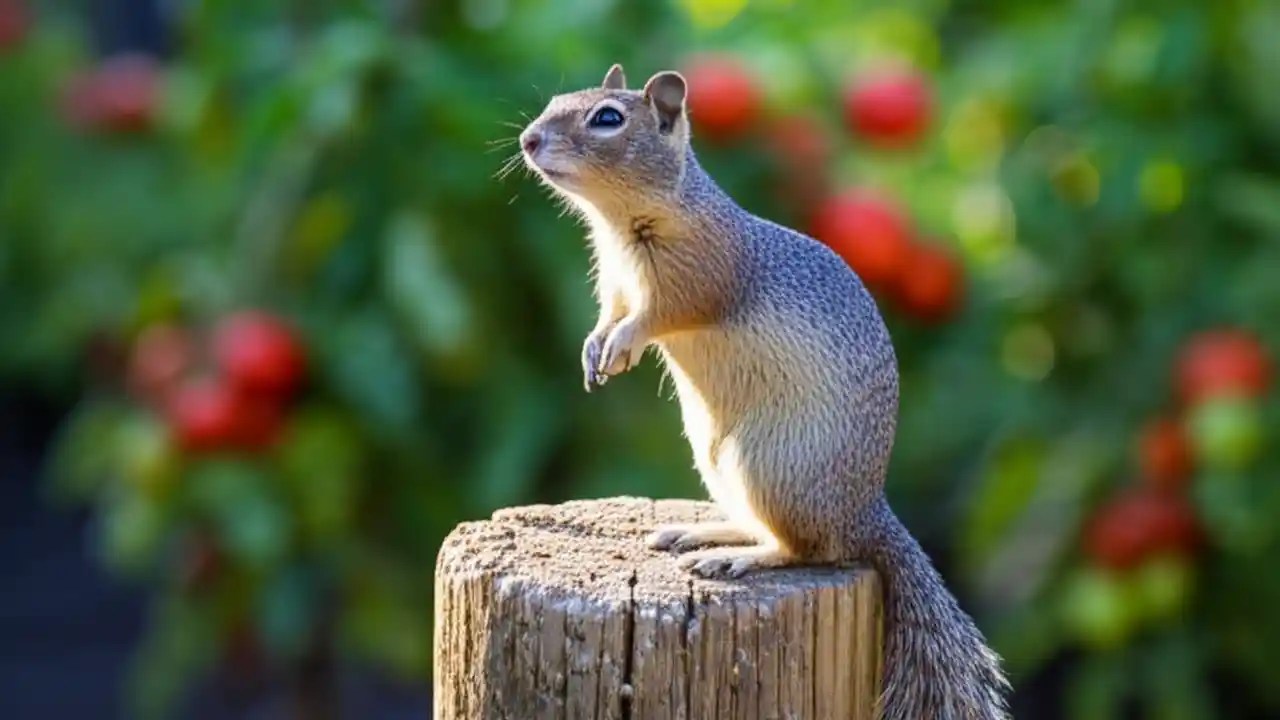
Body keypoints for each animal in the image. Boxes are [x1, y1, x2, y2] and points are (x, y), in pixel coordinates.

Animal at [518, 64, 1010, 720]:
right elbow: (610, 314)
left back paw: (737, 557)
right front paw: (596, 347)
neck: (623, 221)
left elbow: (660, 315)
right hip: (722, 462)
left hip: (768, 463)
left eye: (607, 118)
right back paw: (704, 532)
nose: (528, 140)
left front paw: (624, 343)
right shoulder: (615, 283)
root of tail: (867, 514)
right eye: (554, 100)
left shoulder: (699, 275)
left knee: (807, 549)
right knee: (767, 527)